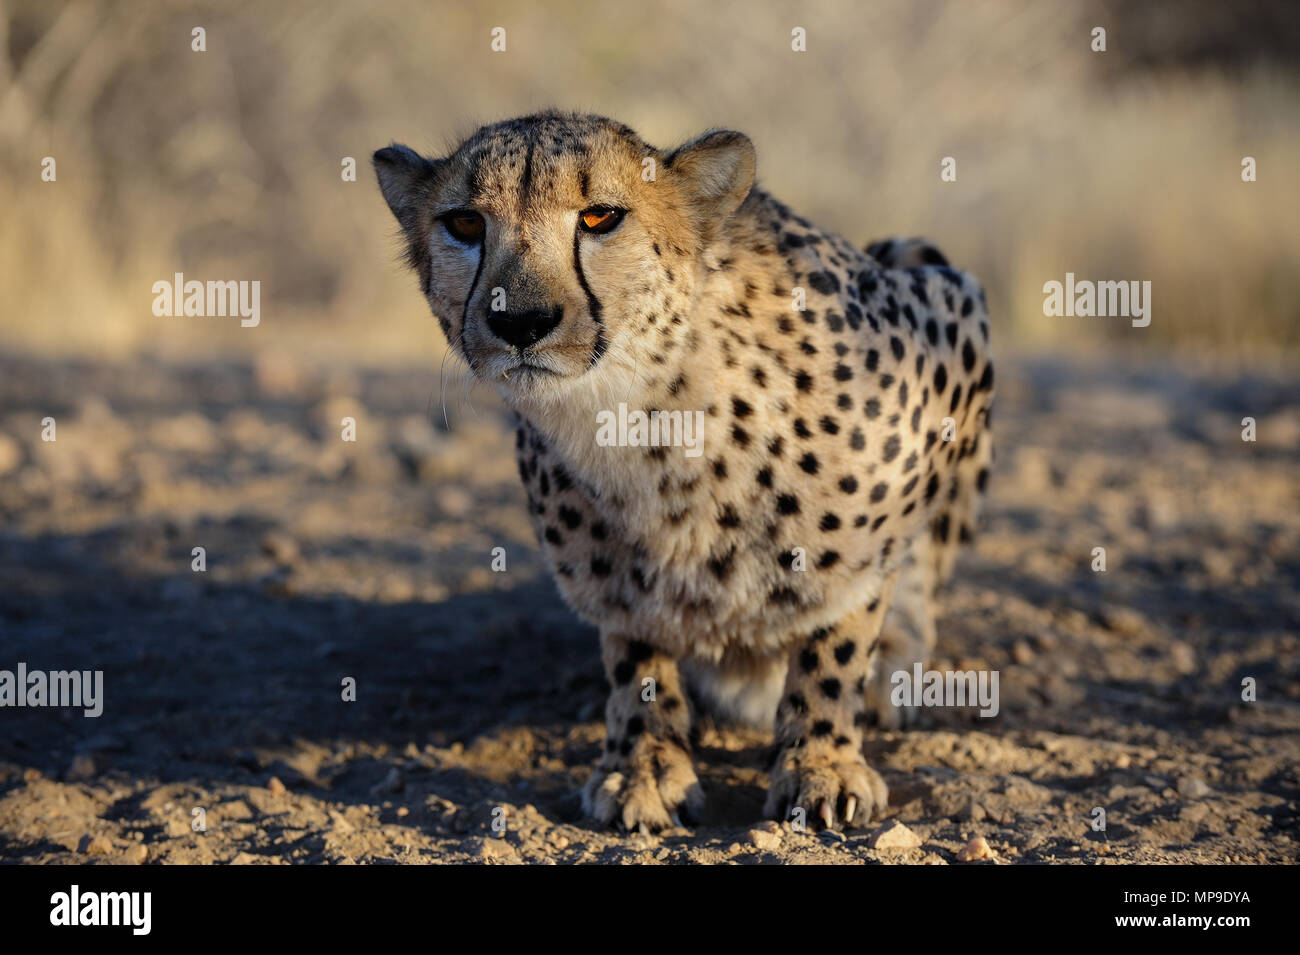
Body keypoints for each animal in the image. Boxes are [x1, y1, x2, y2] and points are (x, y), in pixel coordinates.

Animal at [373, 110, 994, 833]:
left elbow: (843, 620)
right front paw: (644, 765)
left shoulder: (948, 314)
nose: (520, 320)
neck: (644, 410)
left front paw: (822, 762)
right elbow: (636, 646)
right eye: (466, 223)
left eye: (600, 216)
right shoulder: (608, 571)